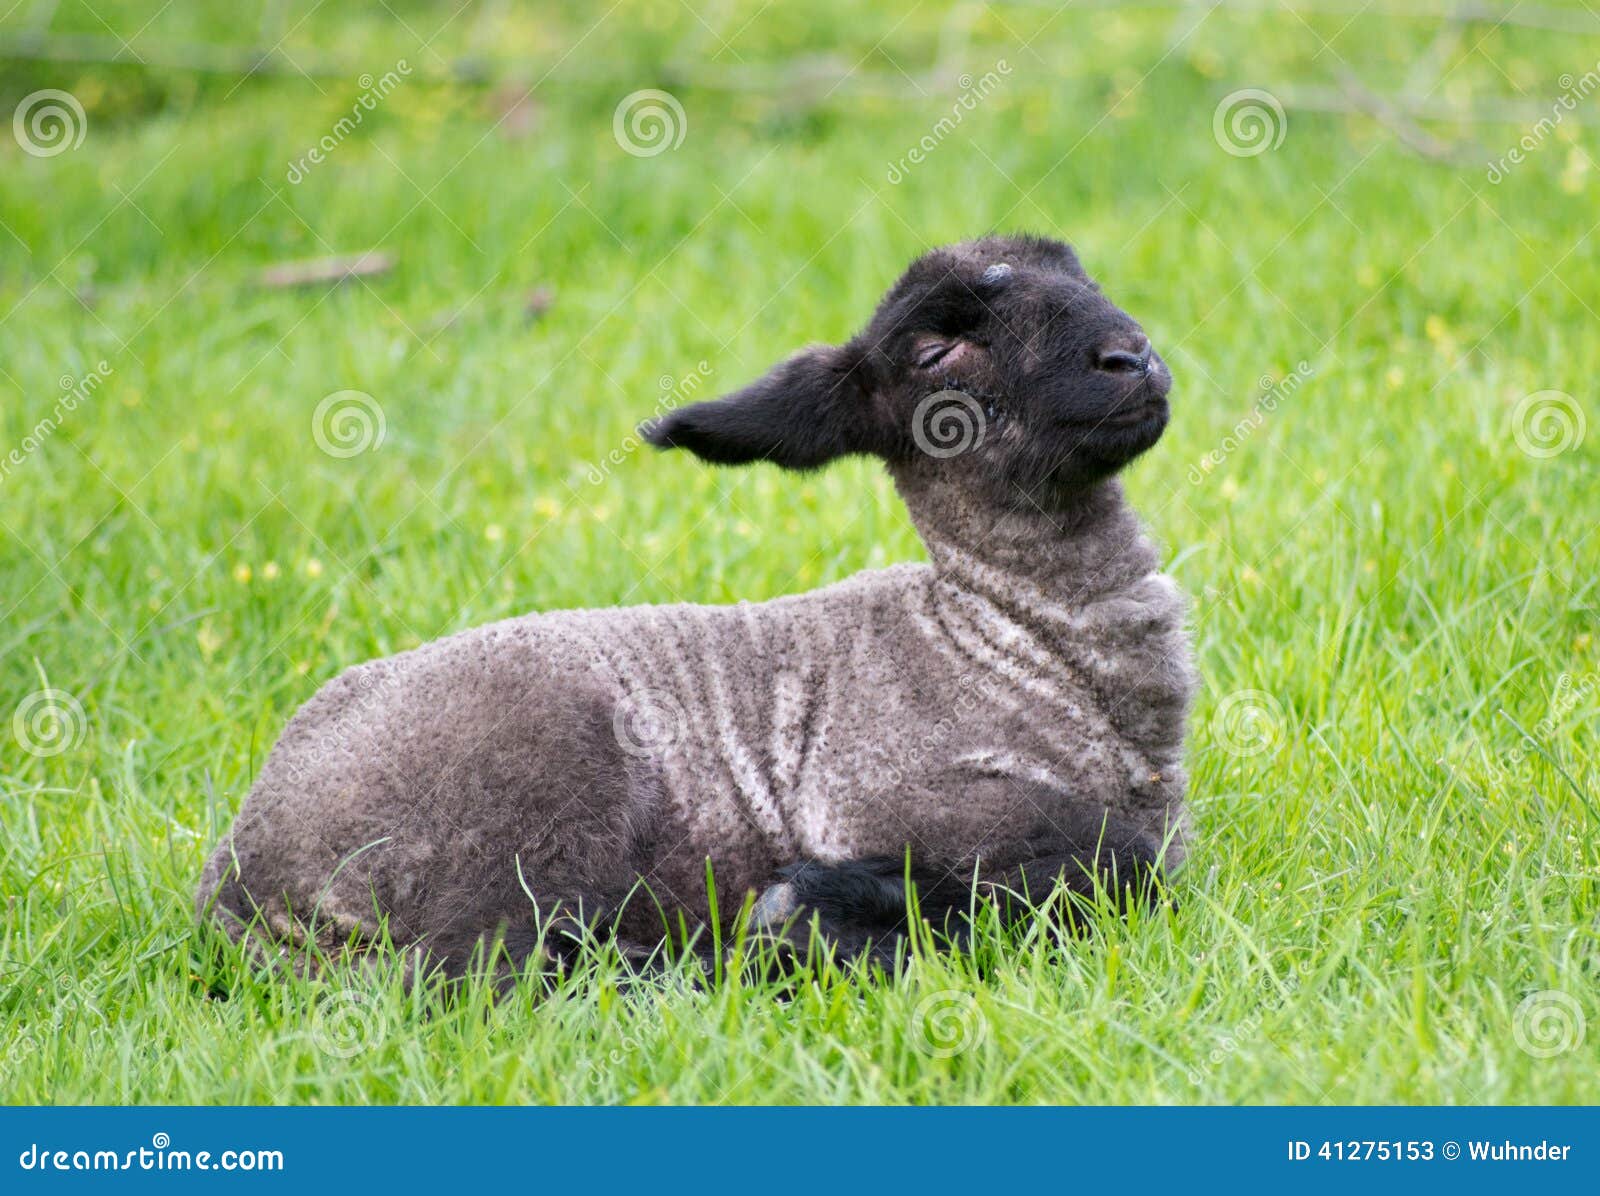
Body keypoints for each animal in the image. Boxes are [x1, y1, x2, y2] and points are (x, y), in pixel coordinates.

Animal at [196, 233, 1196, 980]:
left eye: (1082, 278)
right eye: (936, 350)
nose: (1135, 358)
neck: (1012, 635)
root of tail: (237, 875)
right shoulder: (881, 794)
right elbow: (1119, 861)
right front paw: (821, 908)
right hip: (530, 804)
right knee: (485, 978)